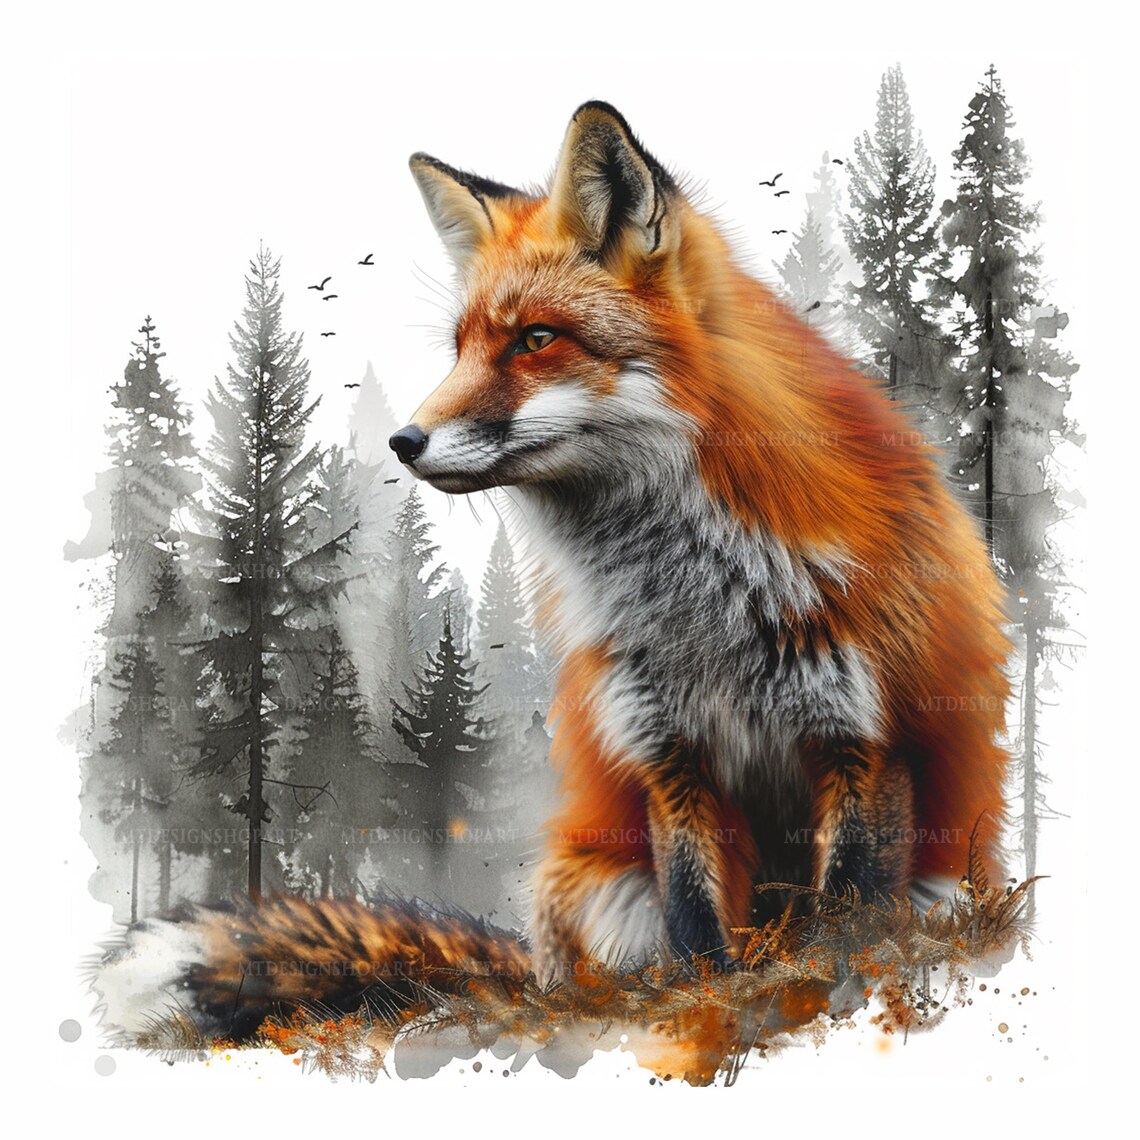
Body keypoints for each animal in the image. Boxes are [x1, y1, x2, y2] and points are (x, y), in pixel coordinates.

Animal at [98, 102, 1011, 1039]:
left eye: (536, 340)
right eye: (460, 347)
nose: (403, 443)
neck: (696, 594)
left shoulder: (868, 737)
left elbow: (849, 914)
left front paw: (819, 992)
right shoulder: (666, 753)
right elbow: (696, 923)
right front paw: (706, 1003)